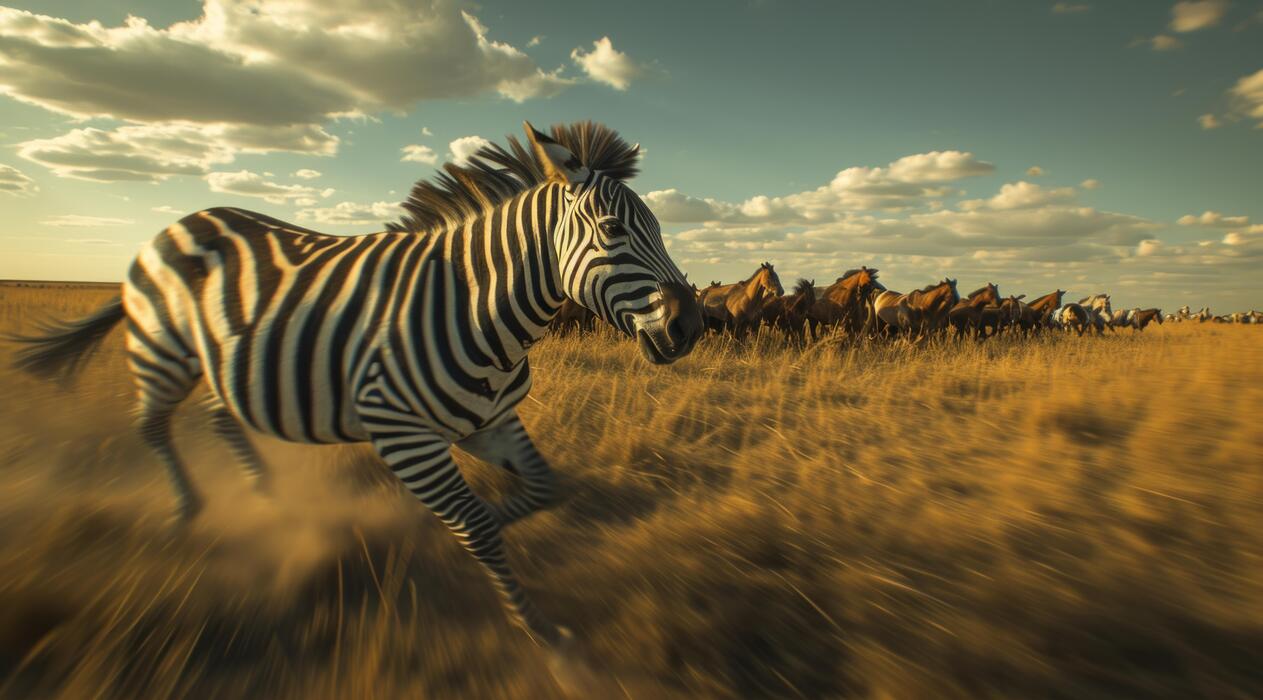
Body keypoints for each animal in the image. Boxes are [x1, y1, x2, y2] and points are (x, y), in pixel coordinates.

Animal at [8, 121, 705, 648]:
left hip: (220, 362)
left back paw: (268, 500)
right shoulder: (402, 434)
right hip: (164, 348)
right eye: (614, 231)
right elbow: (479, 525)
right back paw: (190, 512)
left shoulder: (487, 422)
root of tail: (177, 222)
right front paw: (541, 633)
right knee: (150, 424)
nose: (691, 325)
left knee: (219, 415)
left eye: (661, 229)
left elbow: (538, 491)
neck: (476, 312)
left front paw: (440, 538)